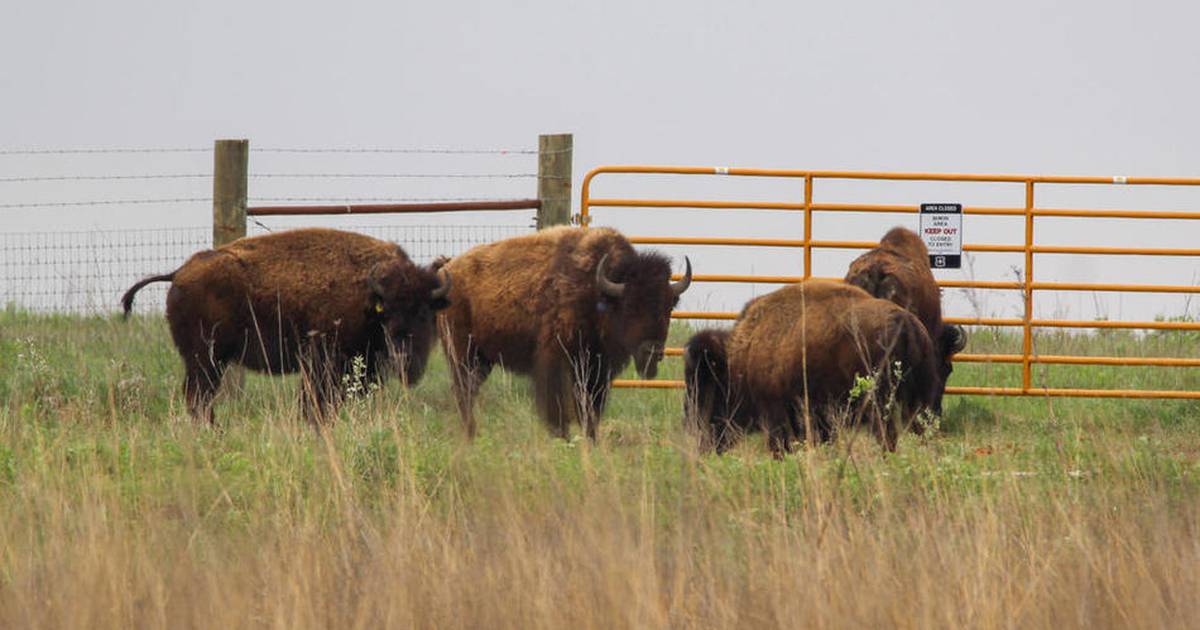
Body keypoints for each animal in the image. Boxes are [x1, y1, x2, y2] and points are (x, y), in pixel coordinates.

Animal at [121, 227, 450, 425]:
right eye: (388, 313)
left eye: (424, 312)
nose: (404, 359)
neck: (368, 297)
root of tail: (178, 273)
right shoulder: (322, 366)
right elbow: (315, 403)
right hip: (206, 360)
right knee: (198, 397)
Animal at [437, 226, 692, 440]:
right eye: (630, 306)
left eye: (669, 306)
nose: (652, 350)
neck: (595, 290)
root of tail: (447, 270)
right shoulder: (557, 360)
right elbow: (559, 403)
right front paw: (562, 437)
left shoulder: (596, 369)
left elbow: (590, 406)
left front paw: (591, 438)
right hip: (462, 353)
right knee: (463, 391)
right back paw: (470, 433)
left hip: (483, 360)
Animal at [684, 280, 940, 456]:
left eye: (705, 383)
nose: (691, 425)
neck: (742, 356)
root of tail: (905, 322)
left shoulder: (775, 418)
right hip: (919, 402)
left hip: (880, 406)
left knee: (888, 438)